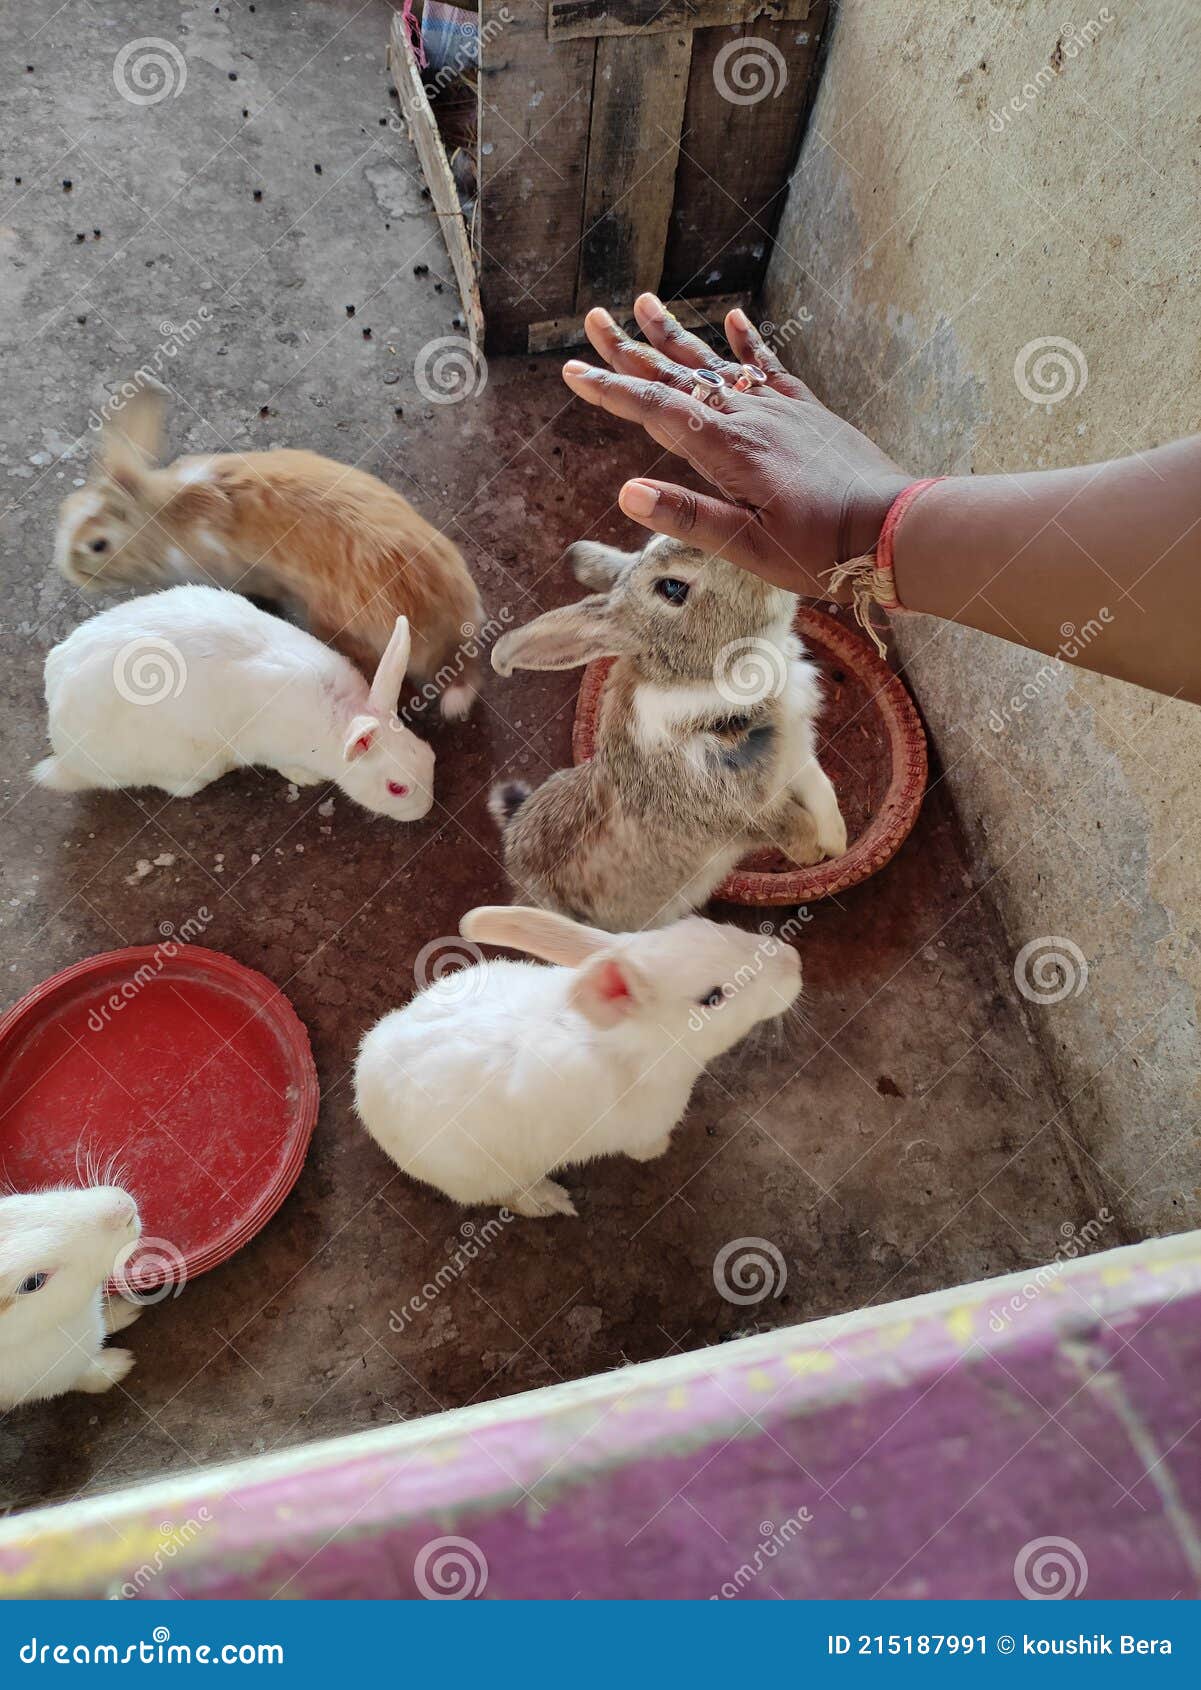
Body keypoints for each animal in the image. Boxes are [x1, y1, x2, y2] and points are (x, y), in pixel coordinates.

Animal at [32, 584, 436, 822]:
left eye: (430, 755)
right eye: (396, 788)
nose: (425, 810)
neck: (339, 721)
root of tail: (65, 753)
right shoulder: (268, 747)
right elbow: (287, 767)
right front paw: (306, 778)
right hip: (176, 762)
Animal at [354, 903, 801, 1218]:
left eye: (717, 927)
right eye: (713, 997)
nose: (794, 963)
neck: (636, 1046)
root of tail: (364, 1096)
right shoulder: (644, 1125)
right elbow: (647, 1147)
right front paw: (659, 1151)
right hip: (485, 1174)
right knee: (508, 1197)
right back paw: (550, 1201)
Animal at [487, 535, 846, 930]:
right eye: (672, 589)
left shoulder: (797, 753)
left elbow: (820, 789)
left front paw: (838, 841)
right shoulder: (734, 811)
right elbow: (787, 824)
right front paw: (812, 850)